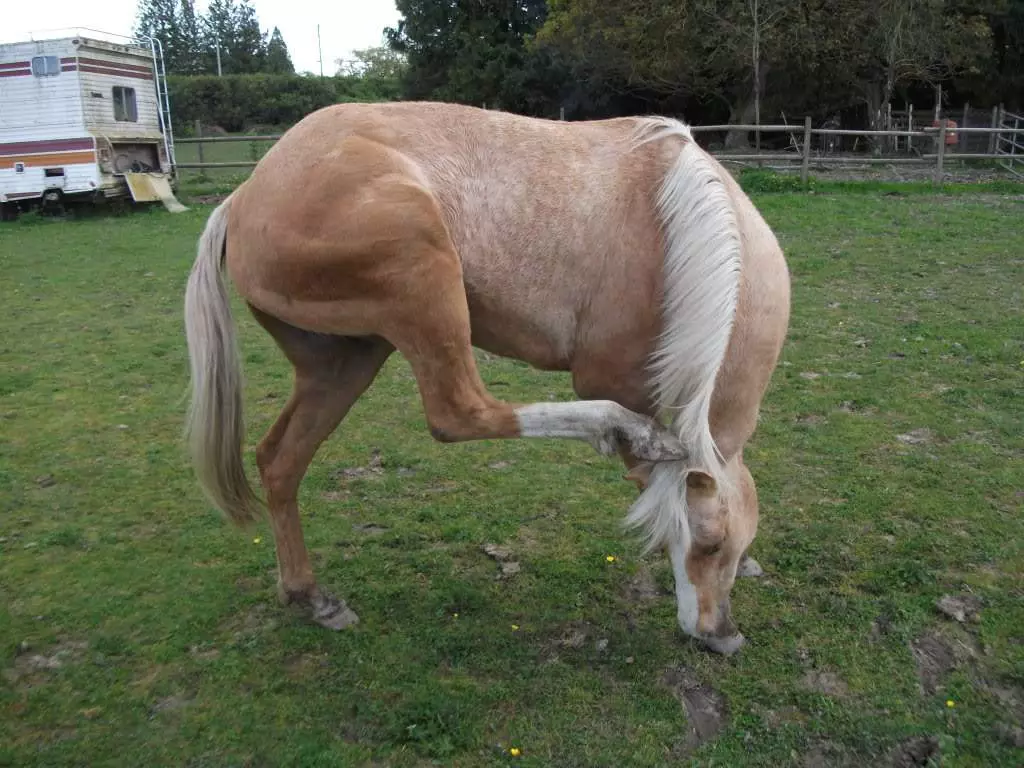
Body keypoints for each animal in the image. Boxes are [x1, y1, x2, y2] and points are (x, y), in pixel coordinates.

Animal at [184, 100, 790, 655]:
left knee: (278, 461)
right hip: (422, 267)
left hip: (346, 361)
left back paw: (311, 598)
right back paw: (617, 427)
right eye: (709, 544)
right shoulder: (619, 384)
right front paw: (639, 441)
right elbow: (655, 471)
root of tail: (243, 197)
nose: (723, 637)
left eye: (736, 549)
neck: (674, 219)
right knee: (459, 412)